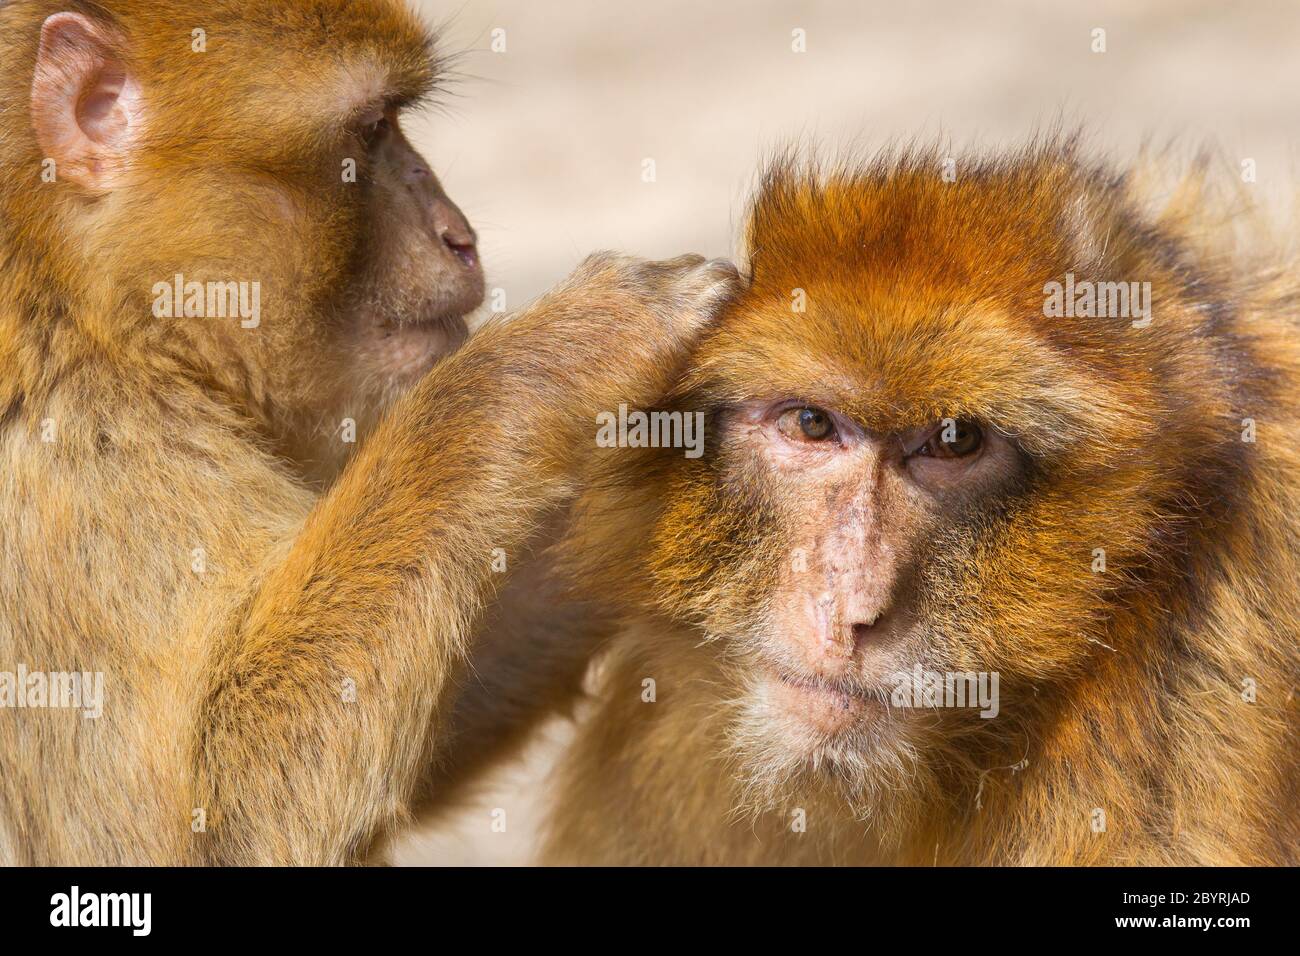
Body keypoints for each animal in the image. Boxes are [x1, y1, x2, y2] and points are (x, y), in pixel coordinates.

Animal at [0, 0, 741, 864]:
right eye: (371, 130)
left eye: (393, 123)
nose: (459, 235)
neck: (82, 302)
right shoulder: (74, 455)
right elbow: (206, 821)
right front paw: (557, 353)